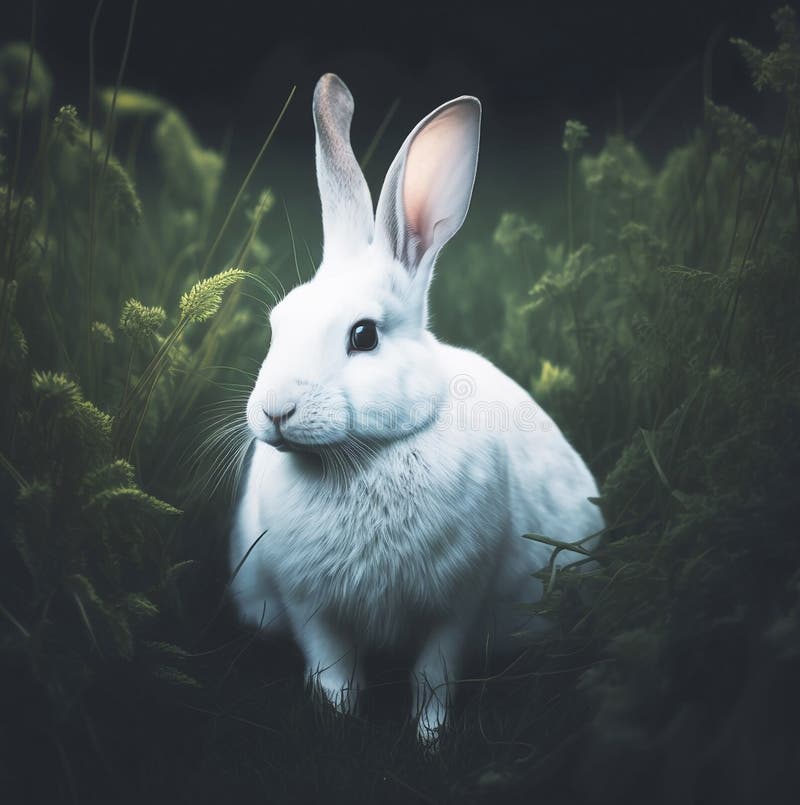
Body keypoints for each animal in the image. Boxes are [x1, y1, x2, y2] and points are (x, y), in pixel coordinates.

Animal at [230, 73, 604, 746]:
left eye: (364, 336)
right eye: (277, 323)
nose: (276, 411)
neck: (362, 458)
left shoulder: (456, 607)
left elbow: (434, 675)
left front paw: (429, 741)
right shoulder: (312, 610)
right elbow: (333, 674)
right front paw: (339, 727)